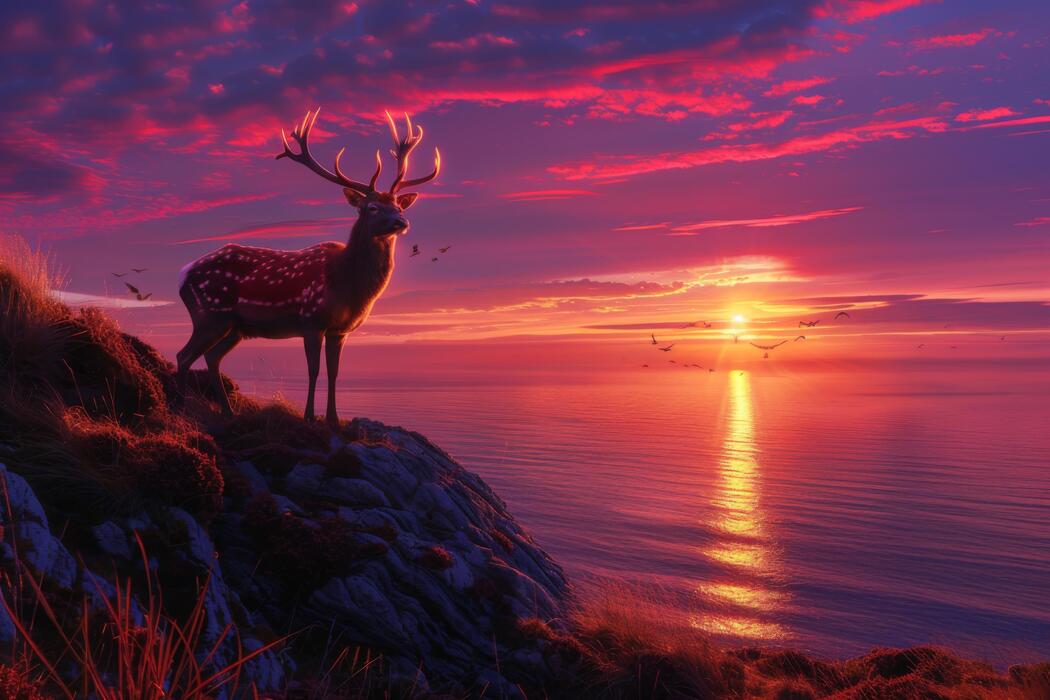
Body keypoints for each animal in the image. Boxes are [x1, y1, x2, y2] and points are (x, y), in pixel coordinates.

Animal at [175, 107, 441, 427]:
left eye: (399, 206)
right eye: (372, 207)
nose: (402, 221)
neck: (347, 285)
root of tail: (183, 274)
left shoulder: (340, 330)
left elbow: (334, 372)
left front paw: (333, 419)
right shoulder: (312, 320)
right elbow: (313, 370)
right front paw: (309, 417)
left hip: (235, 327)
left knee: (212, 357)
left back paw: (229, 412)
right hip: (210, 314)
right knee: (183, 356)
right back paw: (177, 408)